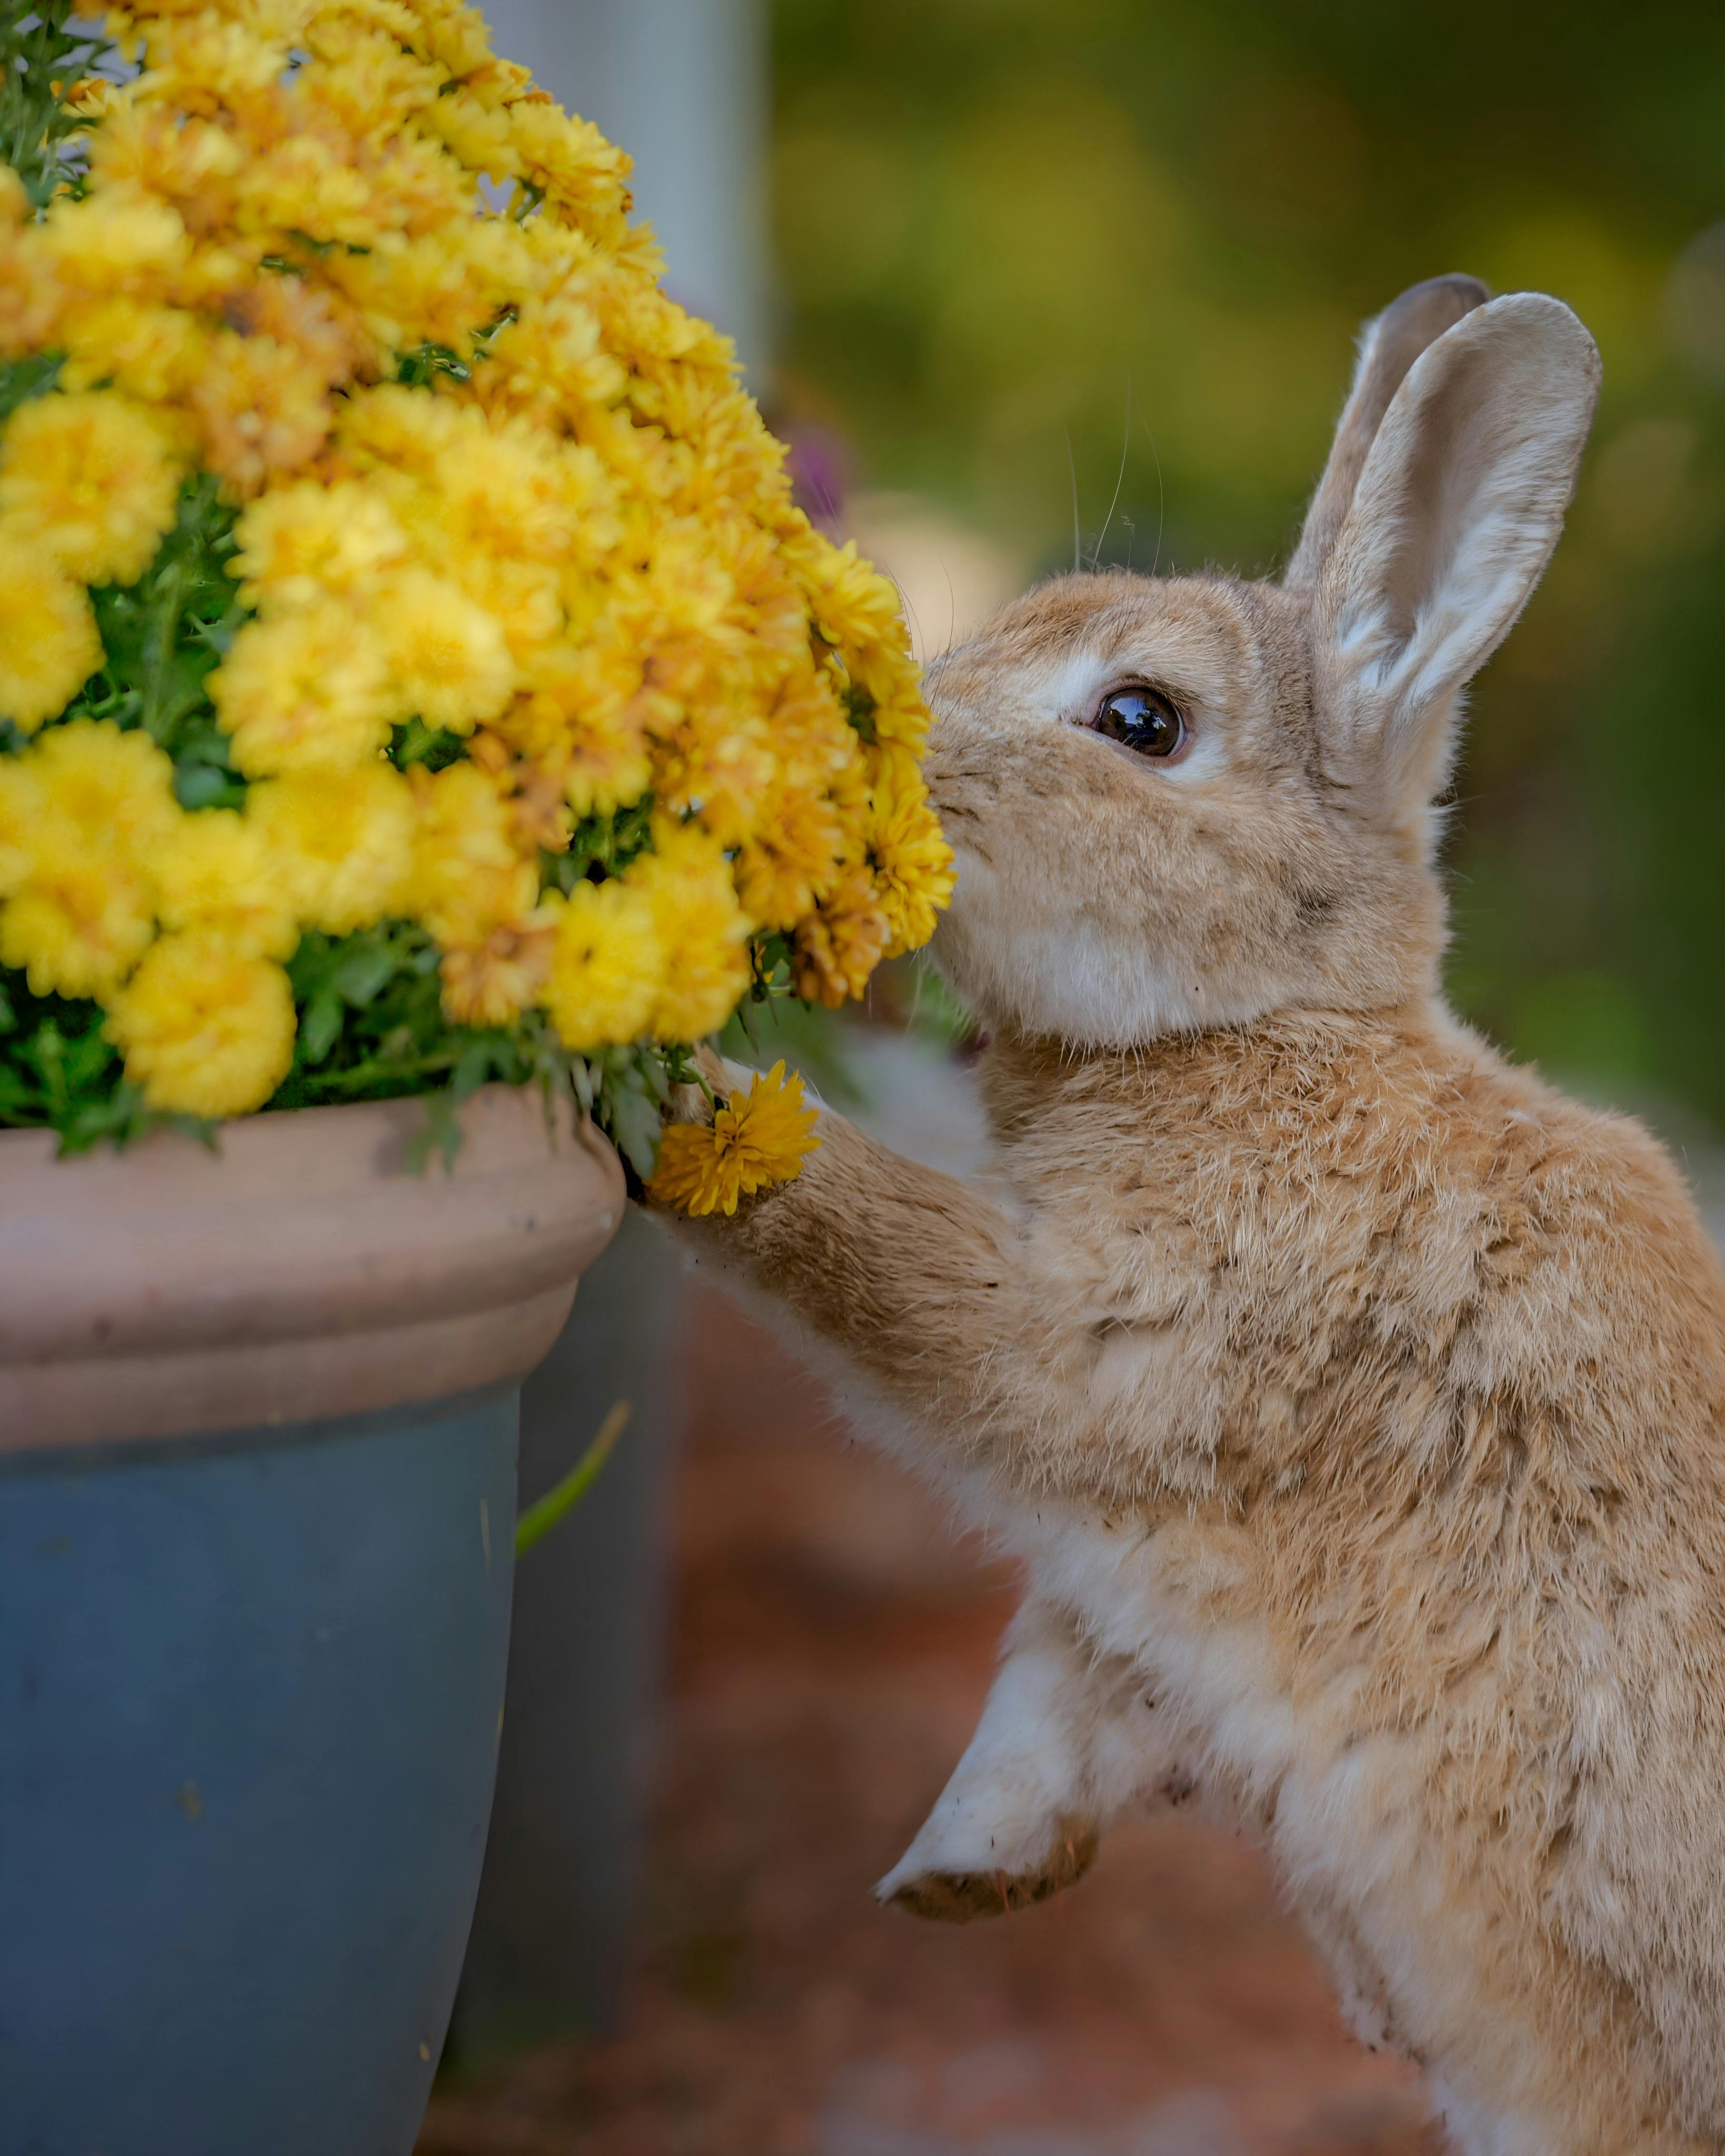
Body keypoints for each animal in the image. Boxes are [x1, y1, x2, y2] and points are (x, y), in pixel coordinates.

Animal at [665, 275, 1725, 2155]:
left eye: (1141, 722)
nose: (881, 740)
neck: (1264, 1030)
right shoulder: (1117, 1585)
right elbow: (1053, 1690)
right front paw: (962, 1873)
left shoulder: (1114, 1337)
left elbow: (864, 1248)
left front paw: (676, 1101)